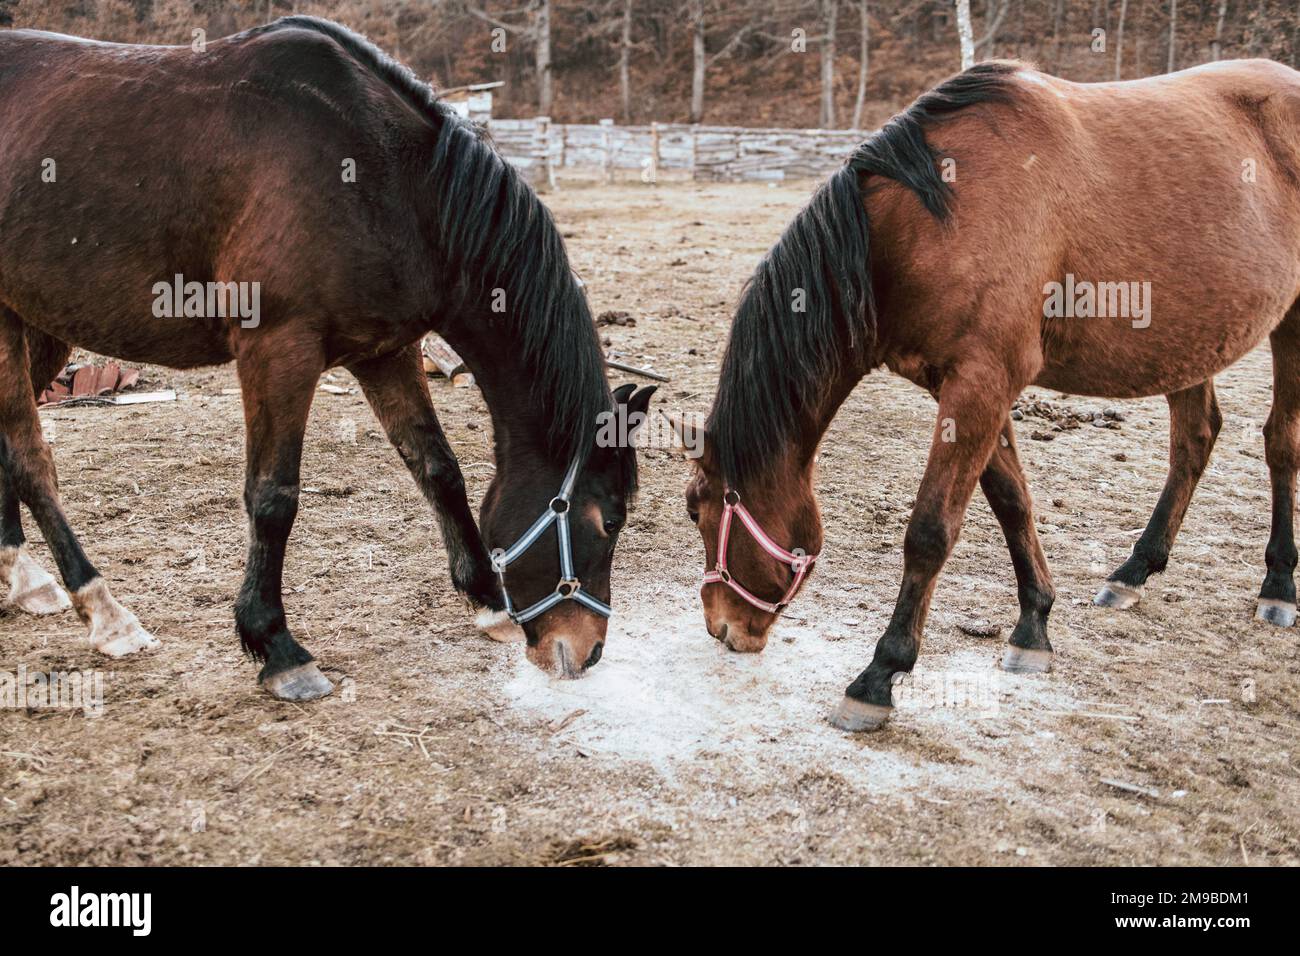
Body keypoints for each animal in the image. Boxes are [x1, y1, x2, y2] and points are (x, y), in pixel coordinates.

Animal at [0, 17, 656, 698]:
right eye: (610, 521)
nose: (587, 649)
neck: (390, 181)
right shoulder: (279, 349)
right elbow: (274, 497)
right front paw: (277, 645)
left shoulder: (387, 353)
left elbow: (438, 469)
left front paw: (487, 601)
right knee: (32, 462)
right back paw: (103, 609)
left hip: (36, 326)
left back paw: (23, 577)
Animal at [680, 58, 1300, 732]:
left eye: (694, 509)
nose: (721, 627)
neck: (934, 216)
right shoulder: (972, 388)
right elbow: (1012, 503)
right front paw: (1034, 626)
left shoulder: (980, 383)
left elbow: (930, 531)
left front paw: (880, 675)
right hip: (1189, 343)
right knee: (1195, 440)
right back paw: (1135, 571)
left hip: (1292, 325)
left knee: (1280, 444)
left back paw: (1278, 586)